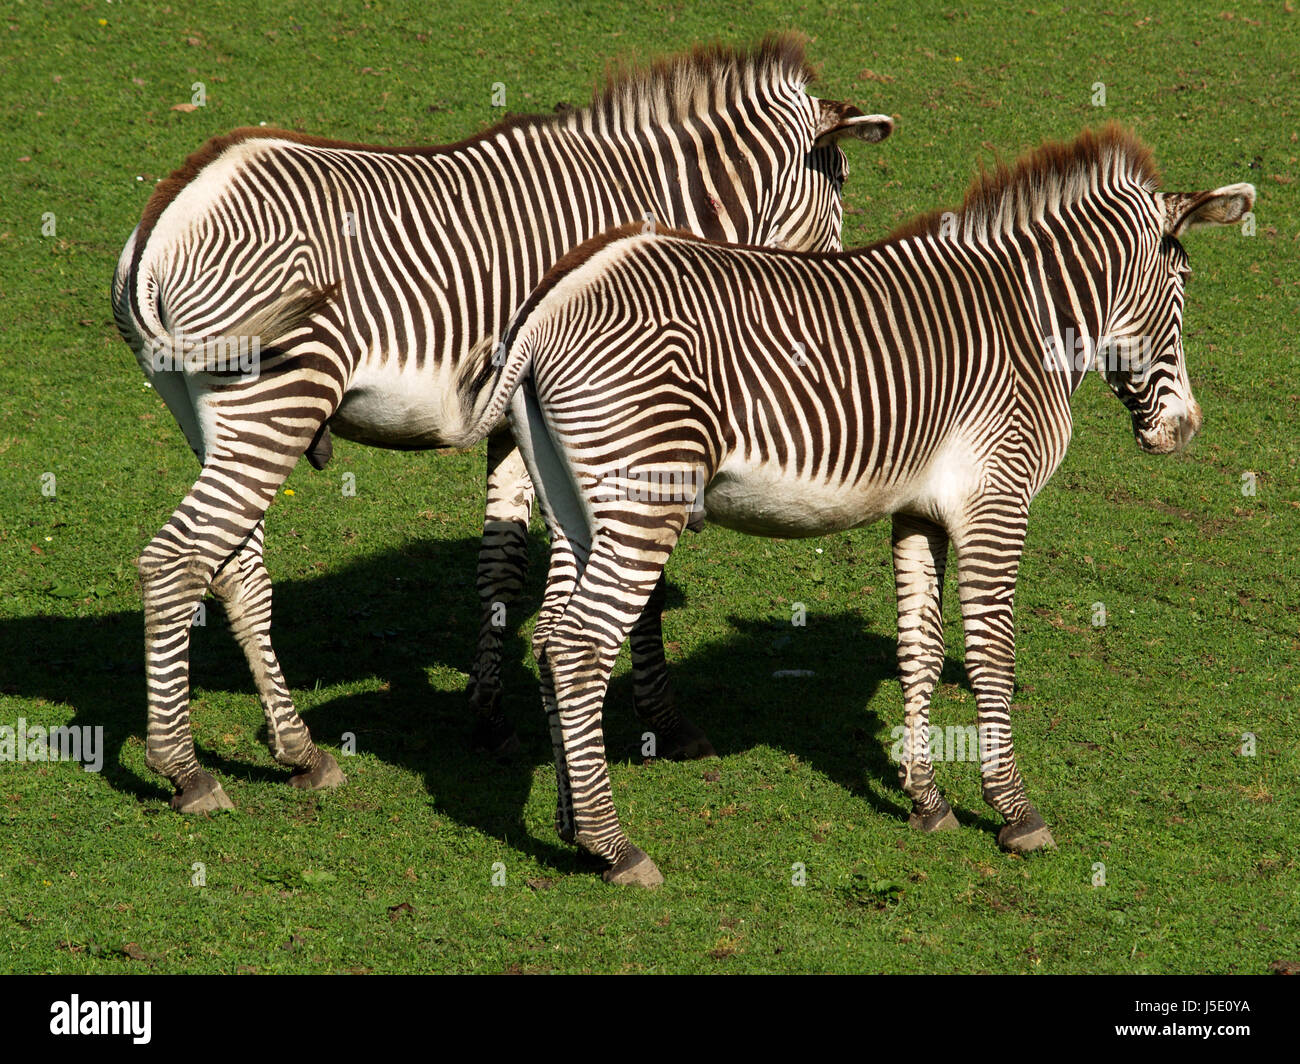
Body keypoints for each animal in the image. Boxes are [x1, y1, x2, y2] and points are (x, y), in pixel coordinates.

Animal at [111, 34, 895, 813]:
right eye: (842, 190)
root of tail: (166, 216)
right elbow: (614, 587)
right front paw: (664, 724)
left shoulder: (523, 420)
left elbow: (501, 561)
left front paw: (489, 718)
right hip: (276, 396)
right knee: (179, 560)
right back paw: (186, 771)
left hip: (215, 414)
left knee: (234, 571)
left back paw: (300, 752)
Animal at [468, 124, 1255, 885]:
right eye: (1185, 285)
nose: (1185, 430)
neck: (1029, 316)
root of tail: (553, 301)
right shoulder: (998, 498)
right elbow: (991, 652)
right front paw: (1014, 811)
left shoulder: (920, 510)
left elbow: (922, 647)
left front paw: (927, 800)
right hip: (644, 492)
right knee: (578, 646)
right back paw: (616, 848)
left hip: (577, 504)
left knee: (550, 639)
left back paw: (573, 828)